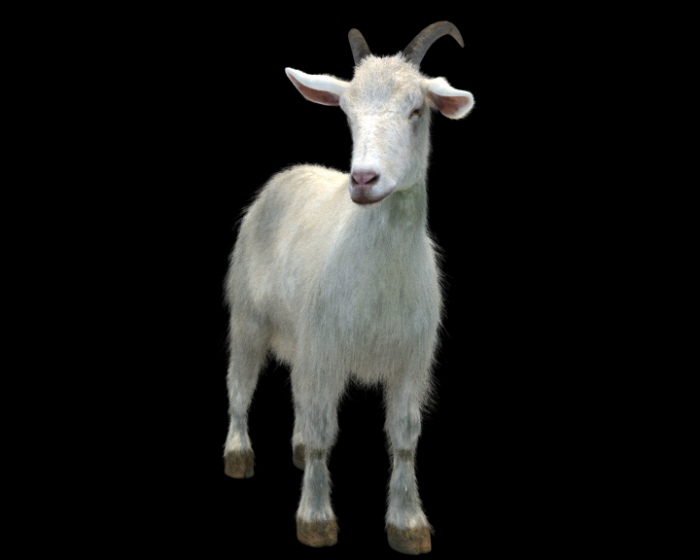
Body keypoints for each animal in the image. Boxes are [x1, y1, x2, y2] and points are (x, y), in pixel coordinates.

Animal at [223, 22, 474, 555]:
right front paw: (316, 520)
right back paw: (238, 454)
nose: (363, 179)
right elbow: (324, 430)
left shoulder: (411, 356)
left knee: (298, 393)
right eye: (347, 112)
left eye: (416, 110)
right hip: (249, 314)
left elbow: (405, 436)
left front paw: (408, 524)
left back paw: (295, 448)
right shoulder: (327, 346)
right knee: (241, 381)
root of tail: (292, 172)